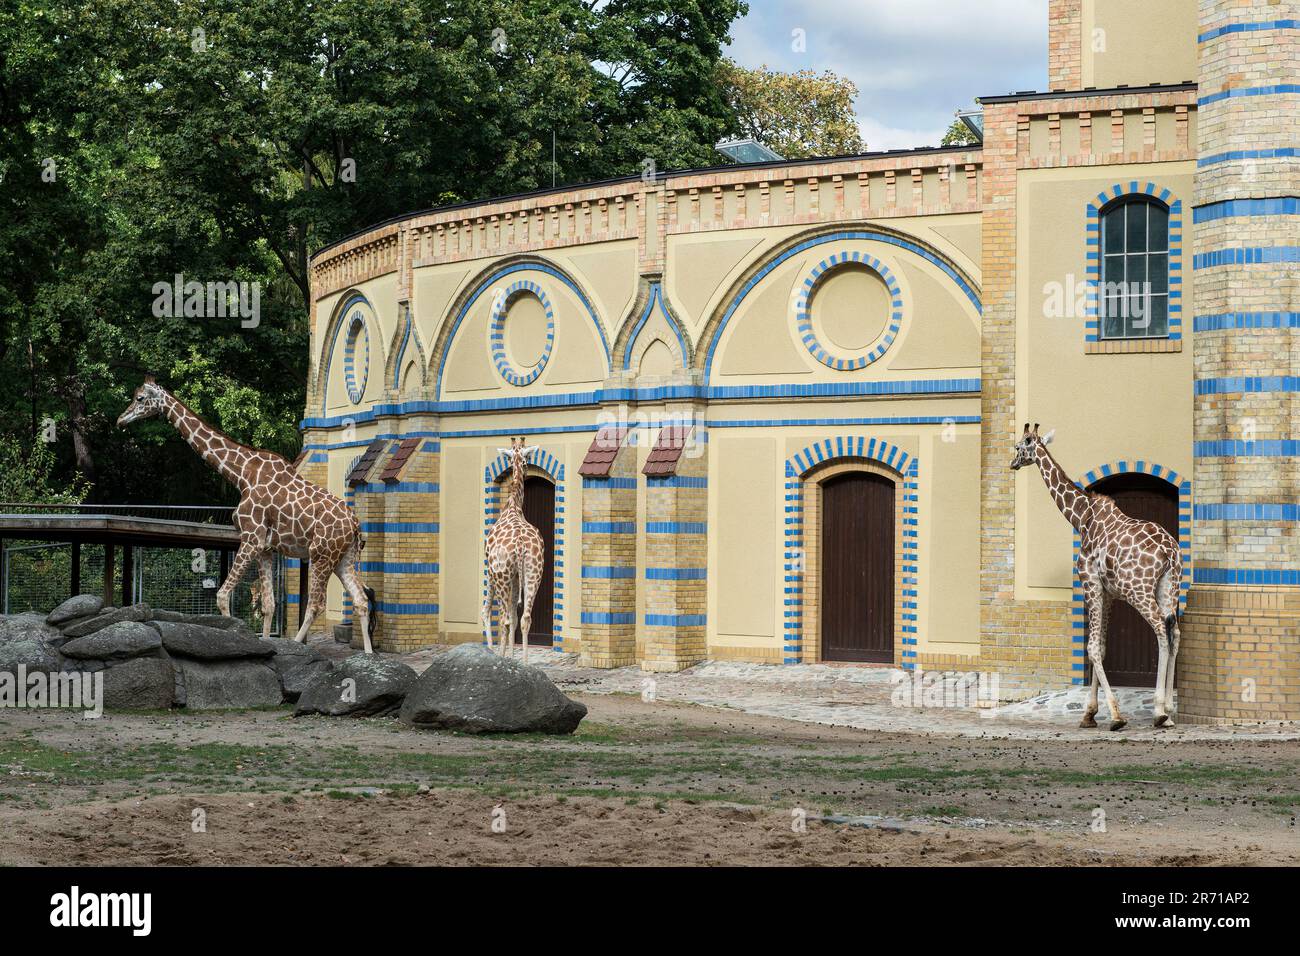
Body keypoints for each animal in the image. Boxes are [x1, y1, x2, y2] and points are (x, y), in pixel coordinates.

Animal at [116, 377, 374, 653]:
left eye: (140, 398)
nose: (121, 420)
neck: (241, 474)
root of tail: (355, 525)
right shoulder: (266, 548)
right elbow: (269, 605)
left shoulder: (251, 538)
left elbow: (222, 595)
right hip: (343, 558)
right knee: (360, 599)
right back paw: (369, 655)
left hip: (321, 555)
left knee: (316, 604)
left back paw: (297, 646)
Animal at [480, 437, 545, 663]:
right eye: (526, 457)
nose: (526, 468)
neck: (513, 505)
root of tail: (519, 544)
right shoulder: (518, 576)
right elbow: (516, 617)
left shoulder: (492, 571)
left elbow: (494, 613)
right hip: (534, 572)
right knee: (524, 618)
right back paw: (525, 664)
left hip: (501, 575)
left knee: (504, 619)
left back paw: (499, 657)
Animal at [1010, 423, 1181, 730]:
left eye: (1019, 446)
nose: (1013, 464)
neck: (1081, 518)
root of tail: (1170, 551)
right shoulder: (1108, 592)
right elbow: (1100, 648)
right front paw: (1089, 714)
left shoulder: (1089, 584)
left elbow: (1091, 648)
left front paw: (1114, 716)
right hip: (1170, 586)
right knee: (1174, 632)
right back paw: (1169, 712)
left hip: (1139, 590)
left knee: (1161, 630)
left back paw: (1159, 711)